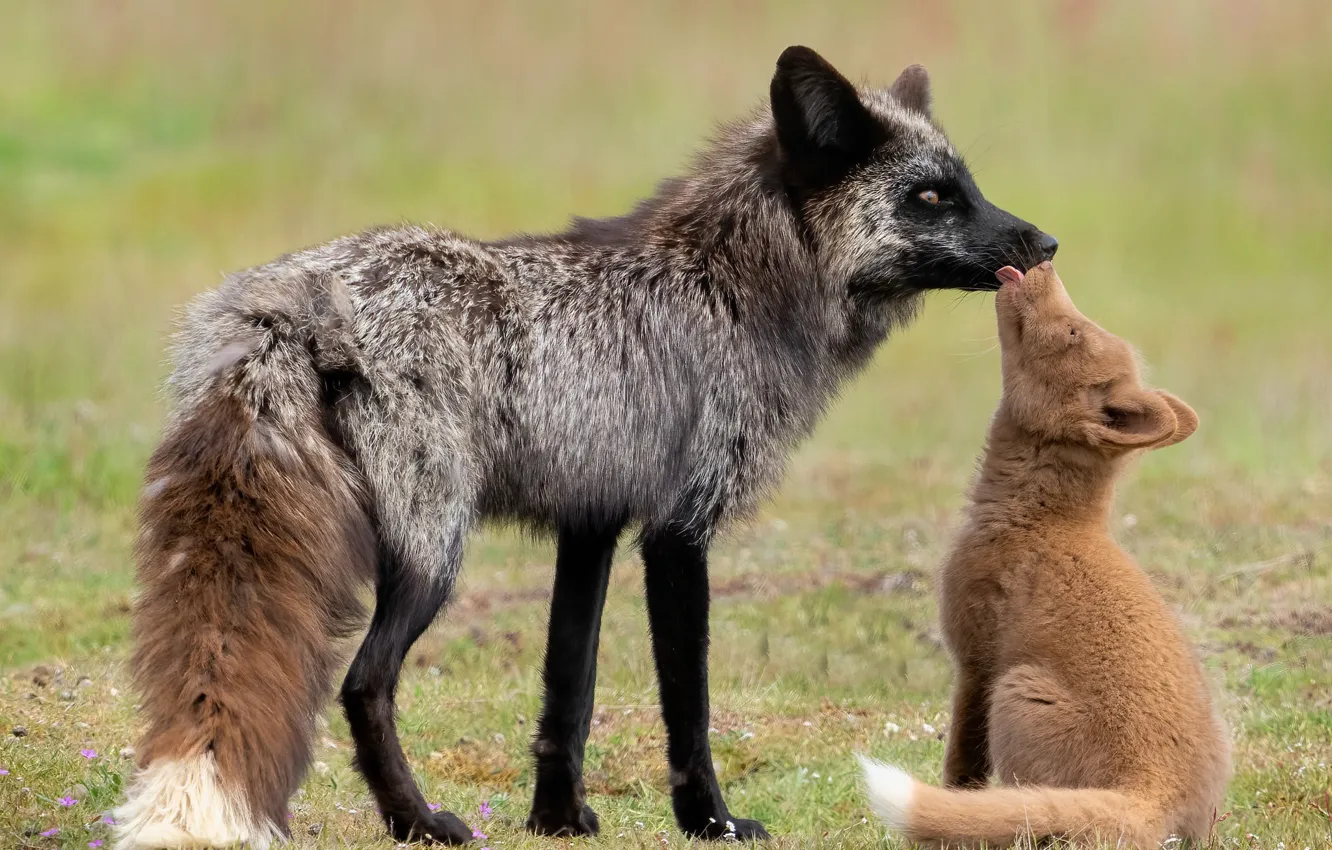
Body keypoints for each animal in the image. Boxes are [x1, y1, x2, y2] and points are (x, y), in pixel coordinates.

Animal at [115, 46, 1057, 848]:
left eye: (968, 187)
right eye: (930, 198)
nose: (1046, 243)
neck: (728, 290)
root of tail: (299, 298)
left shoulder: (592, 521)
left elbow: (569, 688)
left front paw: (557, 819)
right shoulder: (679, 528)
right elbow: (689, 703)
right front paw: (709, 821)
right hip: (432, 550)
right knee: (363, 682)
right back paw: (419, 822)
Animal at [860, 262, 1230, 848]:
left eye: (1074, 332)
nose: (1041, 262)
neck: (1041, 521)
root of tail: (1157, 794)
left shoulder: (975, 660)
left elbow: (961, 769)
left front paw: (950, 816)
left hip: (1017, 694)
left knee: (1031, 812)